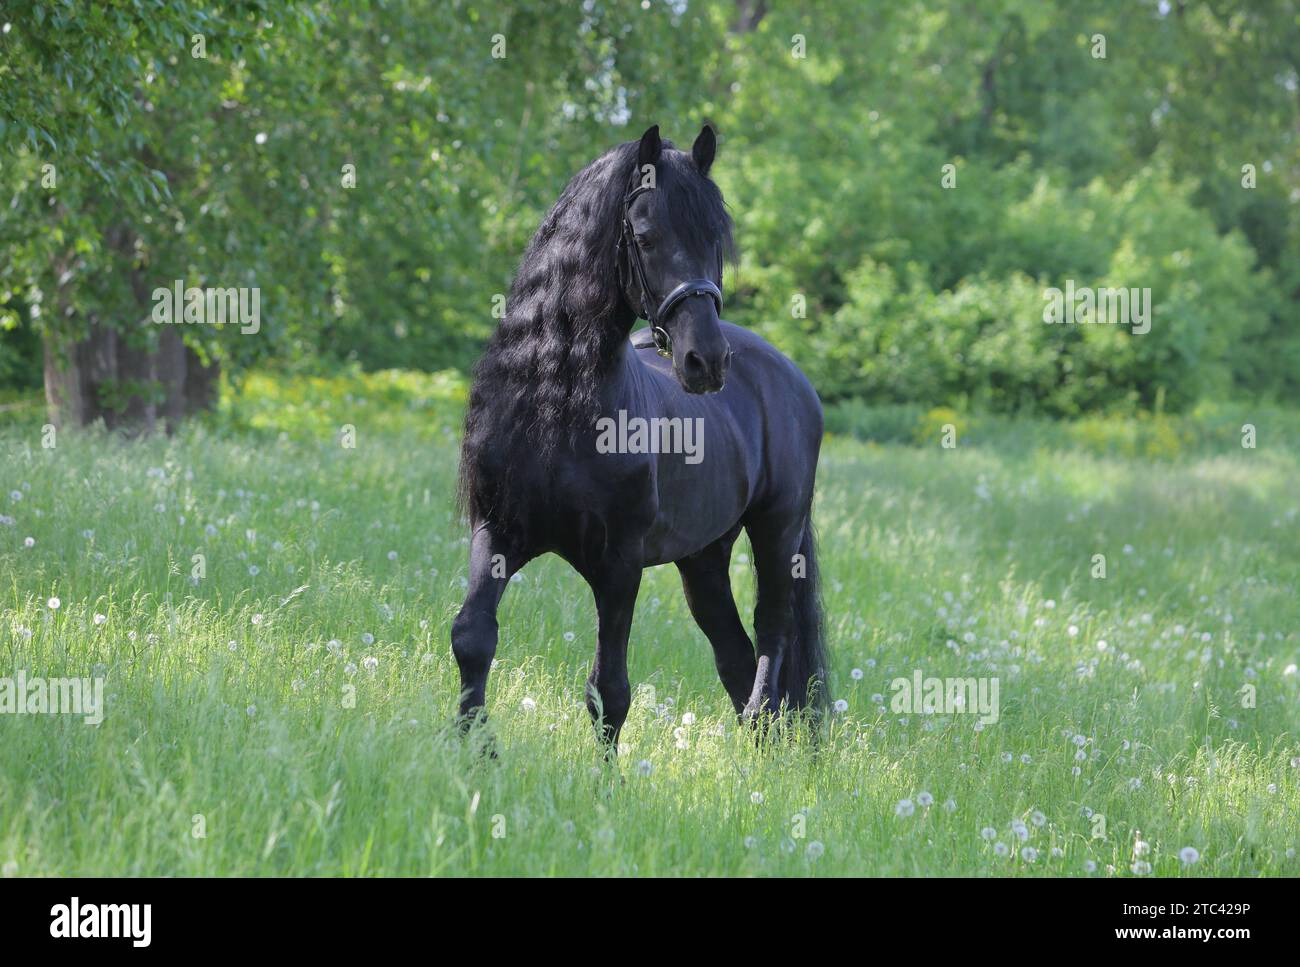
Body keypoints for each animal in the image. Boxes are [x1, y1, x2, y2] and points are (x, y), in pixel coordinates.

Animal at [454, 124, 827, 749]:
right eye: (647, 237)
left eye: (716, 239)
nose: (707, 361)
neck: (558, 409)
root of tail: (790, 376)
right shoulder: (498, 533)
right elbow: (472, 638)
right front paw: (473, 751)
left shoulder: (619, 565)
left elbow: (609, 691)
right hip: (704, 559)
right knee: (733, 652)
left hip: (778, 532)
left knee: (771, 637)